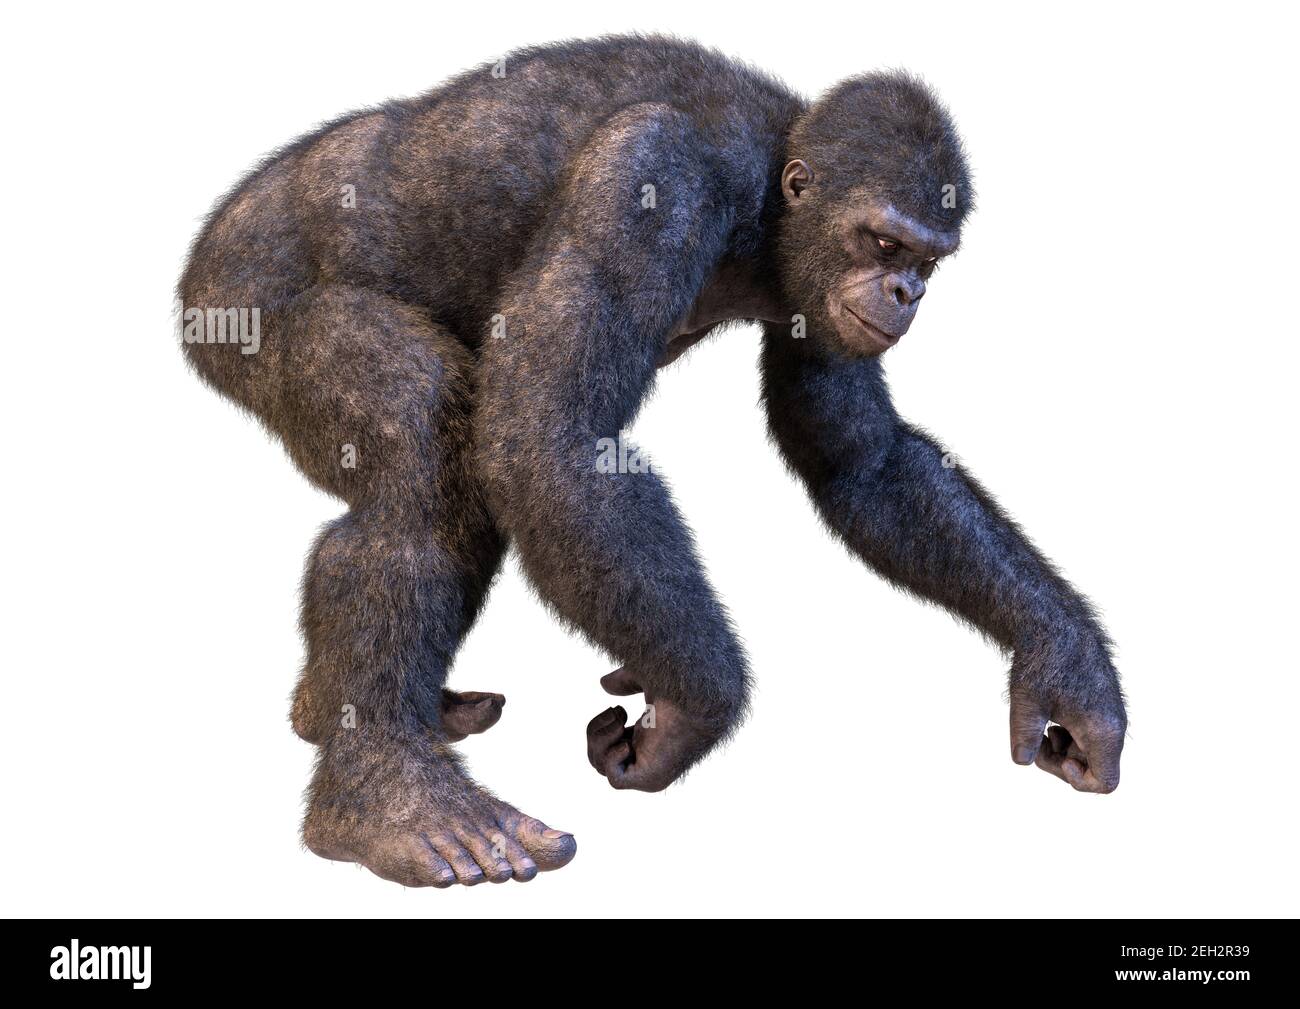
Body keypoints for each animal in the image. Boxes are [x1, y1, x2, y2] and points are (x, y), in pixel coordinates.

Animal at [179, 35, 1125, 888]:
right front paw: (696, 703)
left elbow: (862, 457)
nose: (907, 292)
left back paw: (356, 714)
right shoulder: (653, 176)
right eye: (884, 244)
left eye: (929, 257)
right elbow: (552, 435)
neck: (767, 208)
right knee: (421, 448)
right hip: (242, 303)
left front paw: (1065, 663)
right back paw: (388, 801)